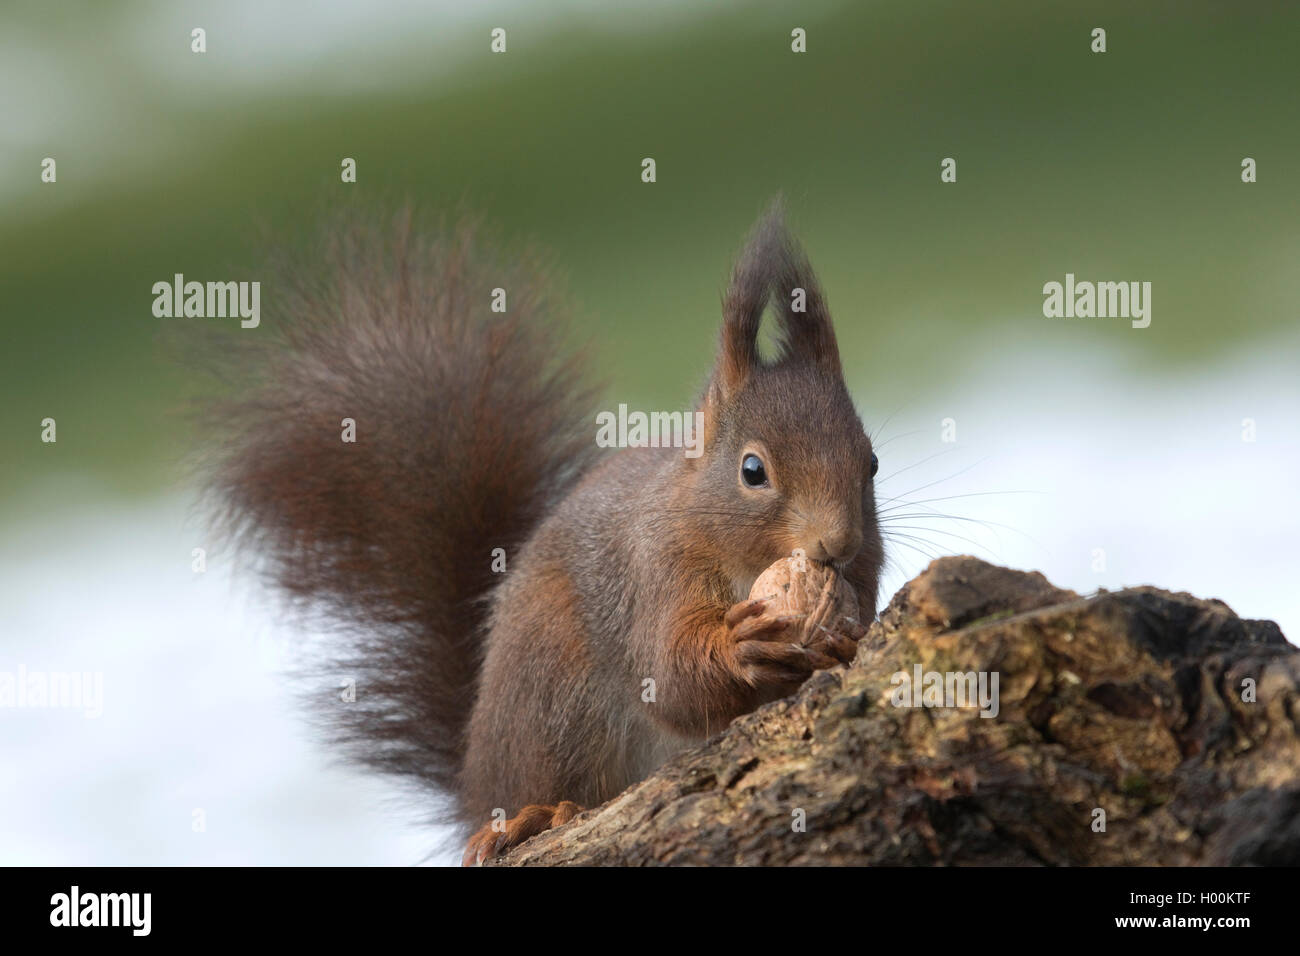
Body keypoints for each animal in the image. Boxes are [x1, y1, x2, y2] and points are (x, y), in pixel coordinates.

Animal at [204, 202, 884, 864]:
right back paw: (534, 816)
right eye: (752, 471)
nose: (836, 544)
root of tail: (474, 783)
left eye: (872, 463)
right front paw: (745, 648)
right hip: (550, 690)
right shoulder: (655, 568)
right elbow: (668, 675)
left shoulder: (865, 570)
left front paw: (844, 641)